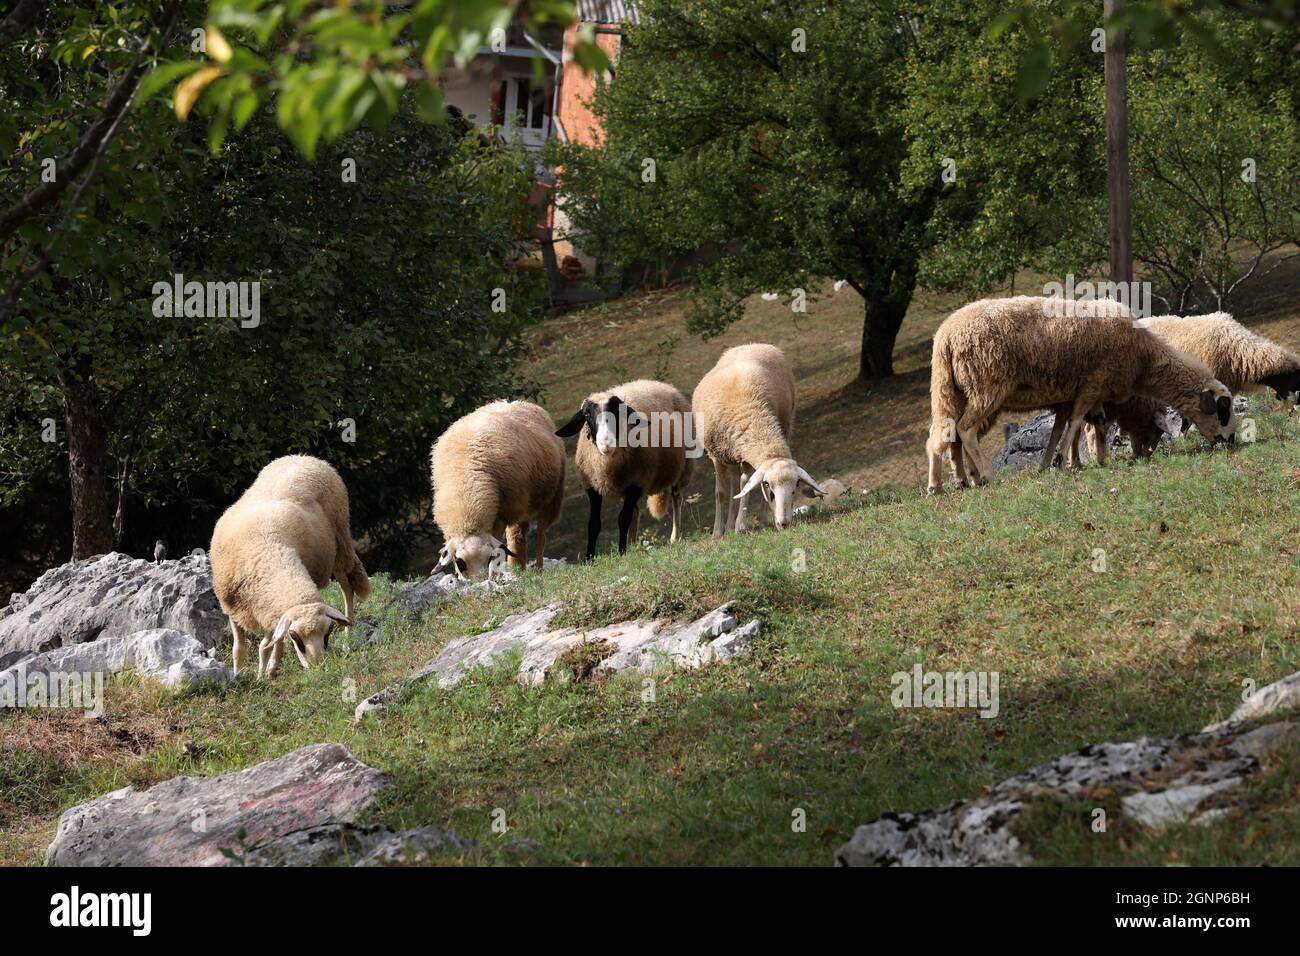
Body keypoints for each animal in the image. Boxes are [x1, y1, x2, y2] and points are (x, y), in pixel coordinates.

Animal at [210, 455, 371, 679]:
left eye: (328, 632)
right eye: (294, 636)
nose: (318, 668)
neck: (266, 551)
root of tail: (307, 457)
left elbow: (269, 644)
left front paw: (268, 671)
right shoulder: (240, 605)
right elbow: (243, 648)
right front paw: (240, 675)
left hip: (340, 543)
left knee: (347, 589)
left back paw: (347, 636)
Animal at [430, 400, 565, 581]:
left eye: (489, 558)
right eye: (460, 562)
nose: (479, 583)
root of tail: (520, 402)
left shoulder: (501, 515)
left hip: (548, 500)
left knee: (540, 537)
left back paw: (538, 569)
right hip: (522, 504)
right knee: (518, 538)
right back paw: (518, 568)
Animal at [555, 379, 695, 558]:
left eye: (617, 412)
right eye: (587, 415)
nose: (606, 444)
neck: (606, 465)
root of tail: (660, 383)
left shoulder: (637, 483)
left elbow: (623, 519)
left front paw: (621, 552)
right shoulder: (592, 486)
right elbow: (593, 524)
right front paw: (590, 558)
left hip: (682, 470)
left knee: (676, 500)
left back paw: (674, 538)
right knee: (636, 512)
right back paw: (633, 545)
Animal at [691, 343, 824, 537]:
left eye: (795, 488)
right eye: (767, 485)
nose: (784, 524)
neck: (748, 415)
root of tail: (751, 344)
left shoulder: (746, 455)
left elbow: (745, 483)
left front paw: (741, 525)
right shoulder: (716, 455)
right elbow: (721, 492)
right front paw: (717, 532)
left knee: (737, 484)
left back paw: (754, 521)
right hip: (729, 452)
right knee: (733, 485)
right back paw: (728, 526)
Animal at [927, 296, 1236, 494]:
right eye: (1223, 409)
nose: (1231, 442)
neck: (1143, 359)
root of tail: (945, 337)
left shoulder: (1082, 394)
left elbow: (1081, 425)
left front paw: (1086, 460)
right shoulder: (1092, 385)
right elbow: (1077, 424)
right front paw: (1064, 462)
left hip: (952, 391)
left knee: (943, 434)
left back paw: (948, 484)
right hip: (986, 386)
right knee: (965, 430)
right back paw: (987, 477)